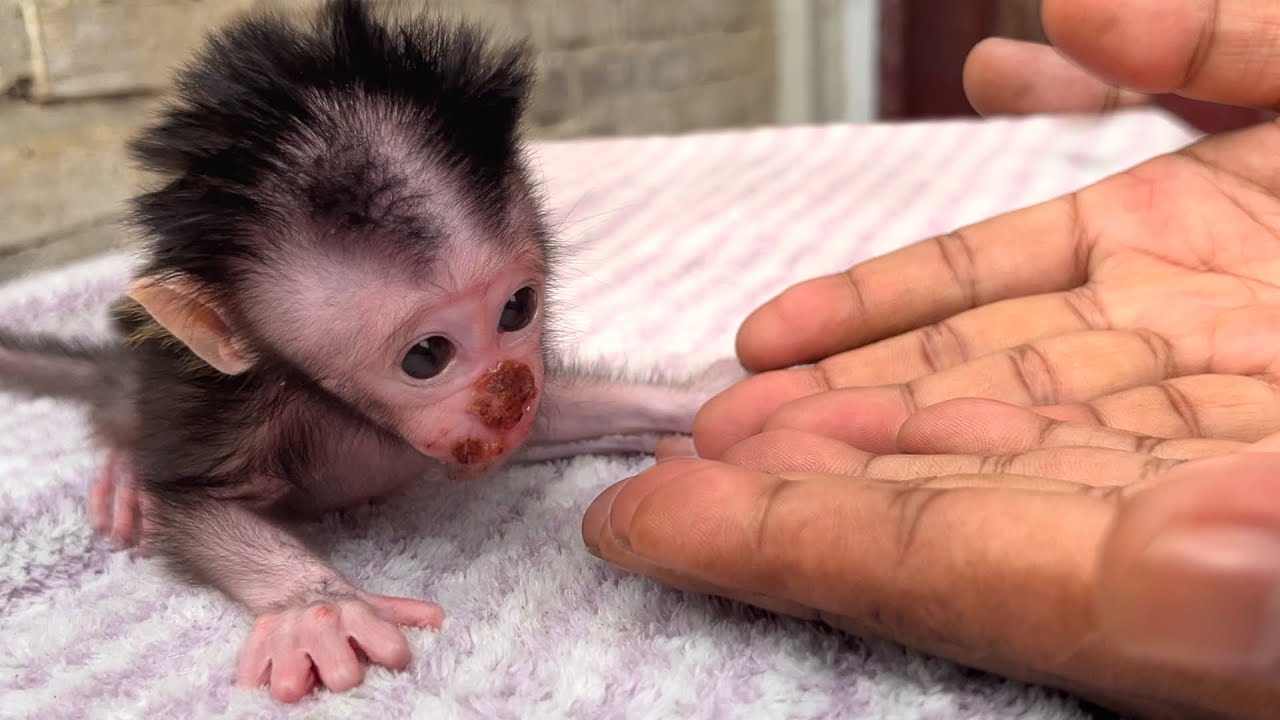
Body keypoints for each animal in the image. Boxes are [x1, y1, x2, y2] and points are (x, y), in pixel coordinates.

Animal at [0, 0, 743, 703]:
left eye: (517, 309)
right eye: (426, 356)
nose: (509, 394)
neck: (344, 408)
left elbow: (560, 412)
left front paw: (696, 399)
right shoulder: (242, 407)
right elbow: (200, 509)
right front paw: (315, 610)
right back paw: (125, 475)